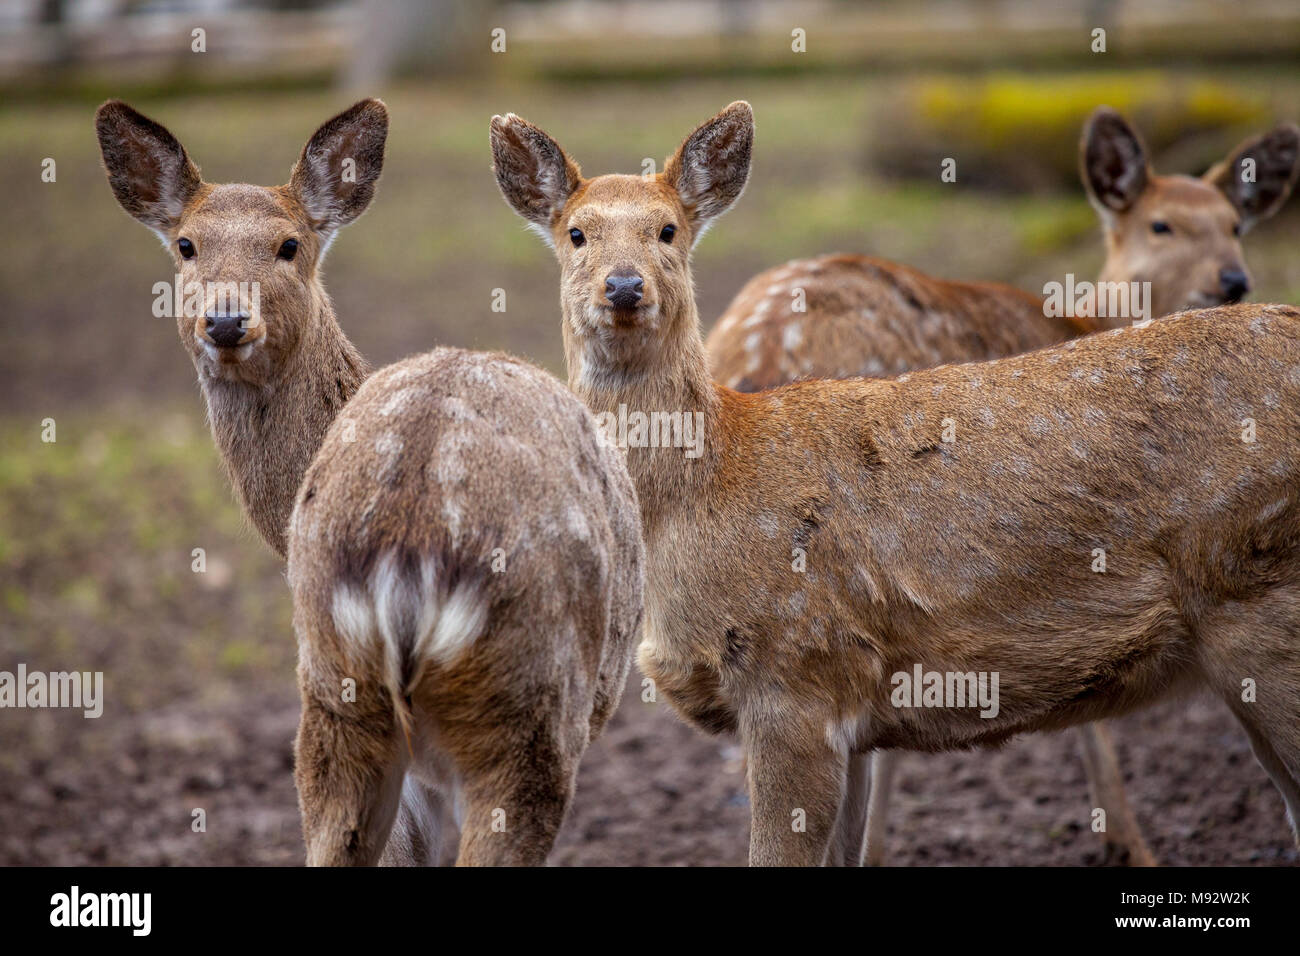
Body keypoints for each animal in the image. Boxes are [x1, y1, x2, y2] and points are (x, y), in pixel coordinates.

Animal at [97, 100, 644, 865]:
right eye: (186, 245)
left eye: (289, 245)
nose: (226, 320)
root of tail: (408, 557)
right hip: (533, 704)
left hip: (334, 688)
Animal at [492, 100, 1300, 867]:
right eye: (576, 234)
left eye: (667, 230)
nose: (624, 287)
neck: (705, 493)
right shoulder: (841, 703)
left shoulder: (795, 674)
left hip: (1262, 604)